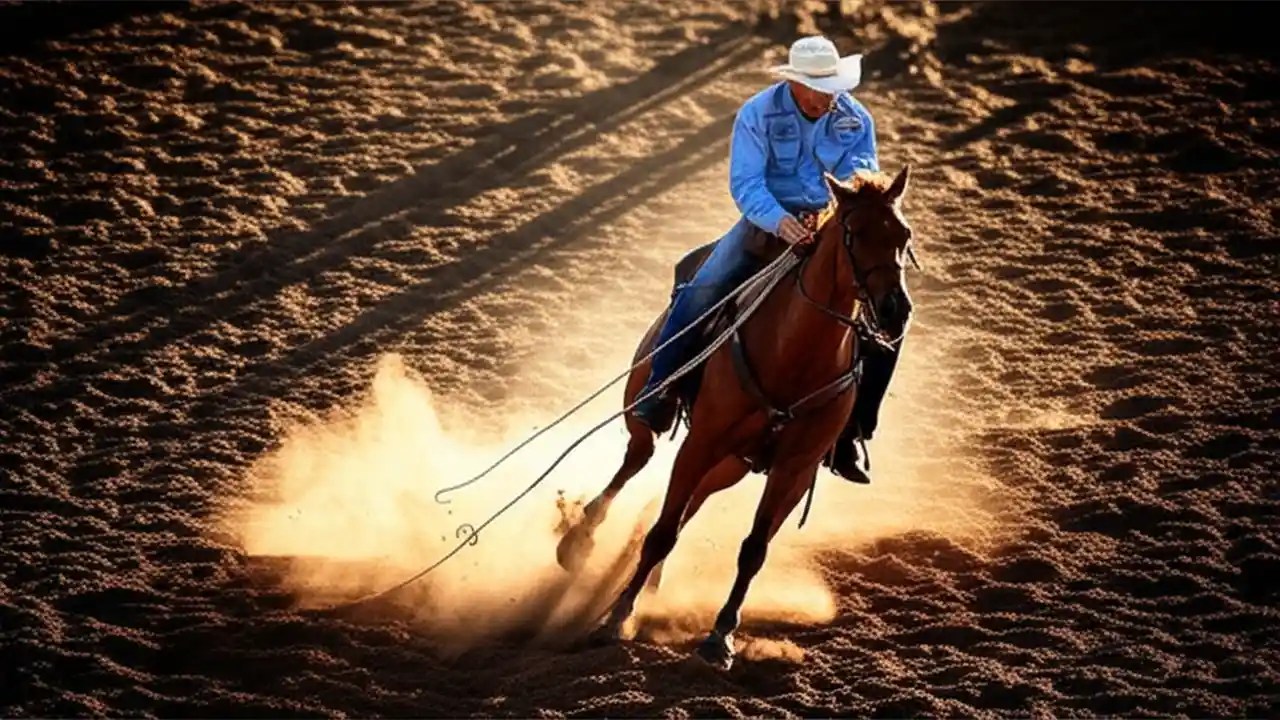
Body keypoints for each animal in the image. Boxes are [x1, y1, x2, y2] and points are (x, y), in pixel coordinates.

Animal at [558, 166, 915, 669]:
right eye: (854, 233)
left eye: (903, 235)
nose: (894, 310)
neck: (794, 355)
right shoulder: (701, 442)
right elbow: (661, 533)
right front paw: (615, 619)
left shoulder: (793, 469)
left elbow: (753, 550)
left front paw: (721, 635)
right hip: (649, 411)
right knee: (636, 460)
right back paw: (581, 540)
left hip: (733, 465)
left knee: (689, 504)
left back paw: (646, 583)